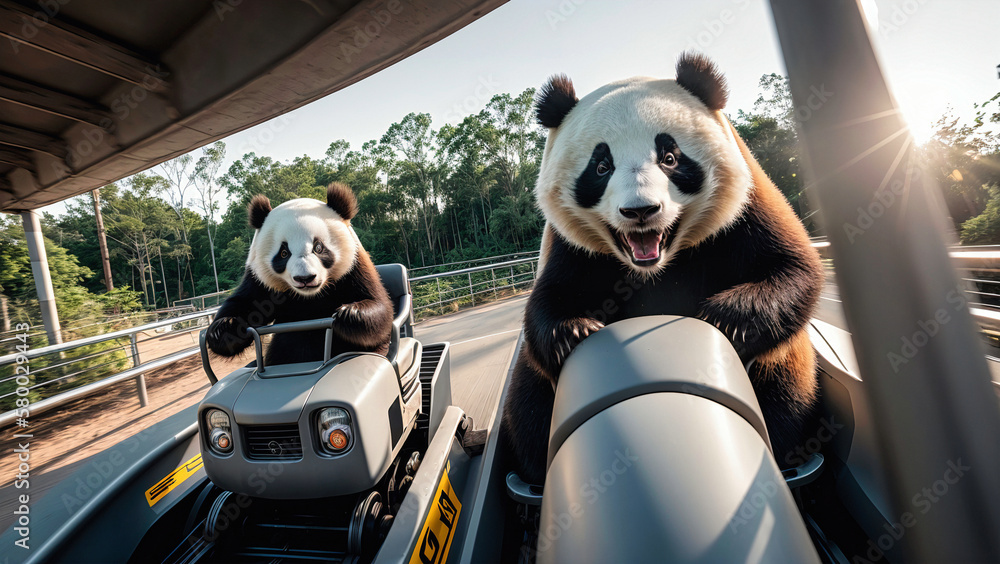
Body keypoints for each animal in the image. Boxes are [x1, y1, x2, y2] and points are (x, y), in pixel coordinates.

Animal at [206, 182, 394, 366]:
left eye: (318, 247)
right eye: (283, 253)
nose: (305, 278)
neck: (310, 297)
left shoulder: (354, 268)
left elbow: (381, 309)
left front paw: (348, 314)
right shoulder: (260, 281)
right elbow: (244, 304)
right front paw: (224, 328)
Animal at [502, 53, 825, 485]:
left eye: (670, 158)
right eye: (601, 166)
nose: (640, 210)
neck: (655, 269)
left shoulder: (747, 203)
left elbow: (794, 266)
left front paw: (727, 318)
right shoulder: (568, 245)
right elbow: (549, 298)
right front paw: (574, 332)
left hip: (786, 369)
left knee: (785, 394)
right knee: (529, 408)